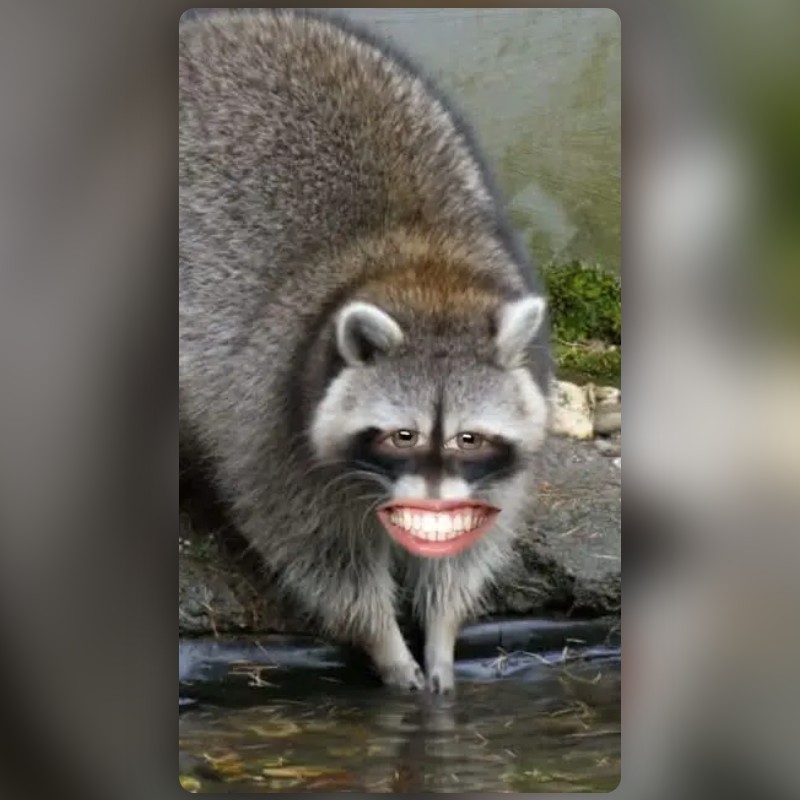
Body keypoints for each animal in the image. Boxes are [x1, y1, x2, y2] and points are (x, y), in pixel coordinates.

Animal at [179, 9, 552, 693]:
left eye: (469, 438)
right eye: (402, 436)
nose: (430, 507)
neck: (424, 275)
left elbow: (471, 542)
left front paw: (442, 630)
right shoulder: (270, 424)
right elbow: (316, 552)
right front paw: (384, 640)